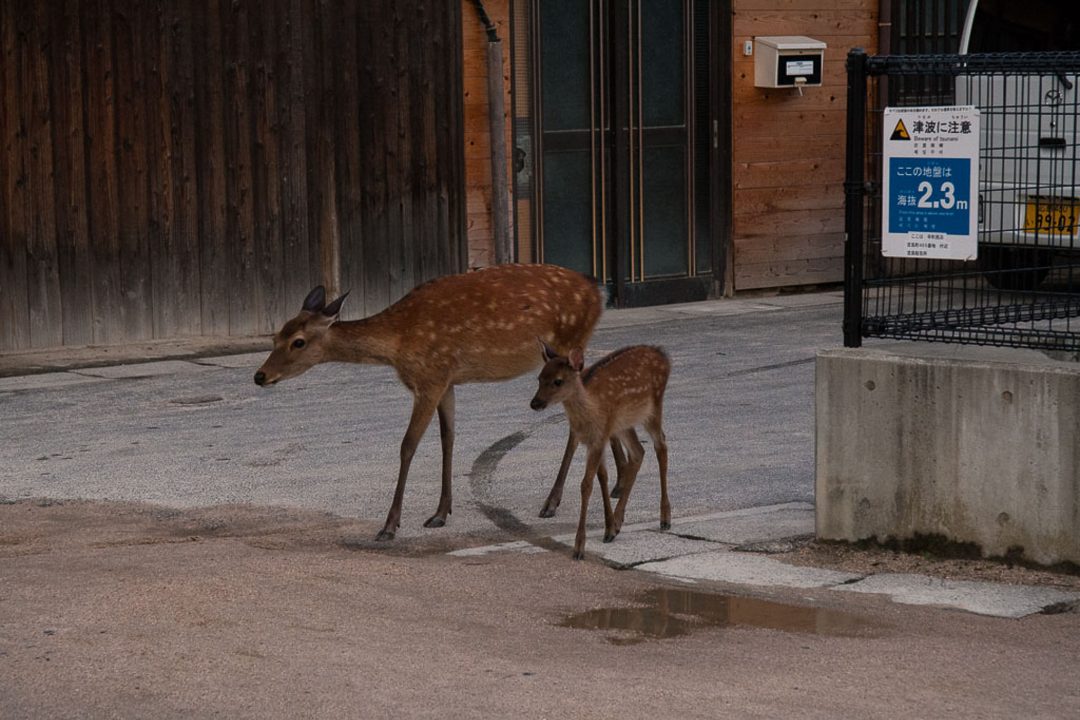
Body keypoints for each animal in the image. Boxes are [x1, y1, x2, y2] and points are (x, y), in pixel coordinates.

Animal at [253, 263, 605, 542]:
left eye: (298, 342)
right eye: (275, 337)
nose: (260, 375)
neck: (397, 343)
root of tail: (597, 293)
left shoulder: (430, 378)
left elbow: (408, 445)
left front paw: (389, 526)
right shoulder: (446, 380)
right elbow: (447, 438)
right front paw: (440, 513)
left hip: (569, 345)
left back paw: (551, 502)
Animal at [530, 342, 672, 560]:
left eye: (558, 381)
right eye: (539, 378)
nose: (535, 403)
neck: (590, 410)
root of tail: (662, 355)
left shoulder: (600, 437)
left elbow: (586, 485)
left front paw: (579, 547)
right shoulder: (593, 439)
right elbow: (602, 478)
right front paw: (609, 528)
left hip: (652, 408)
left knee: (661, 446)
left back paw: (665, 517)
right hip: (623, 424)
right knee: (638, 452)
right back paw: (619, 519)